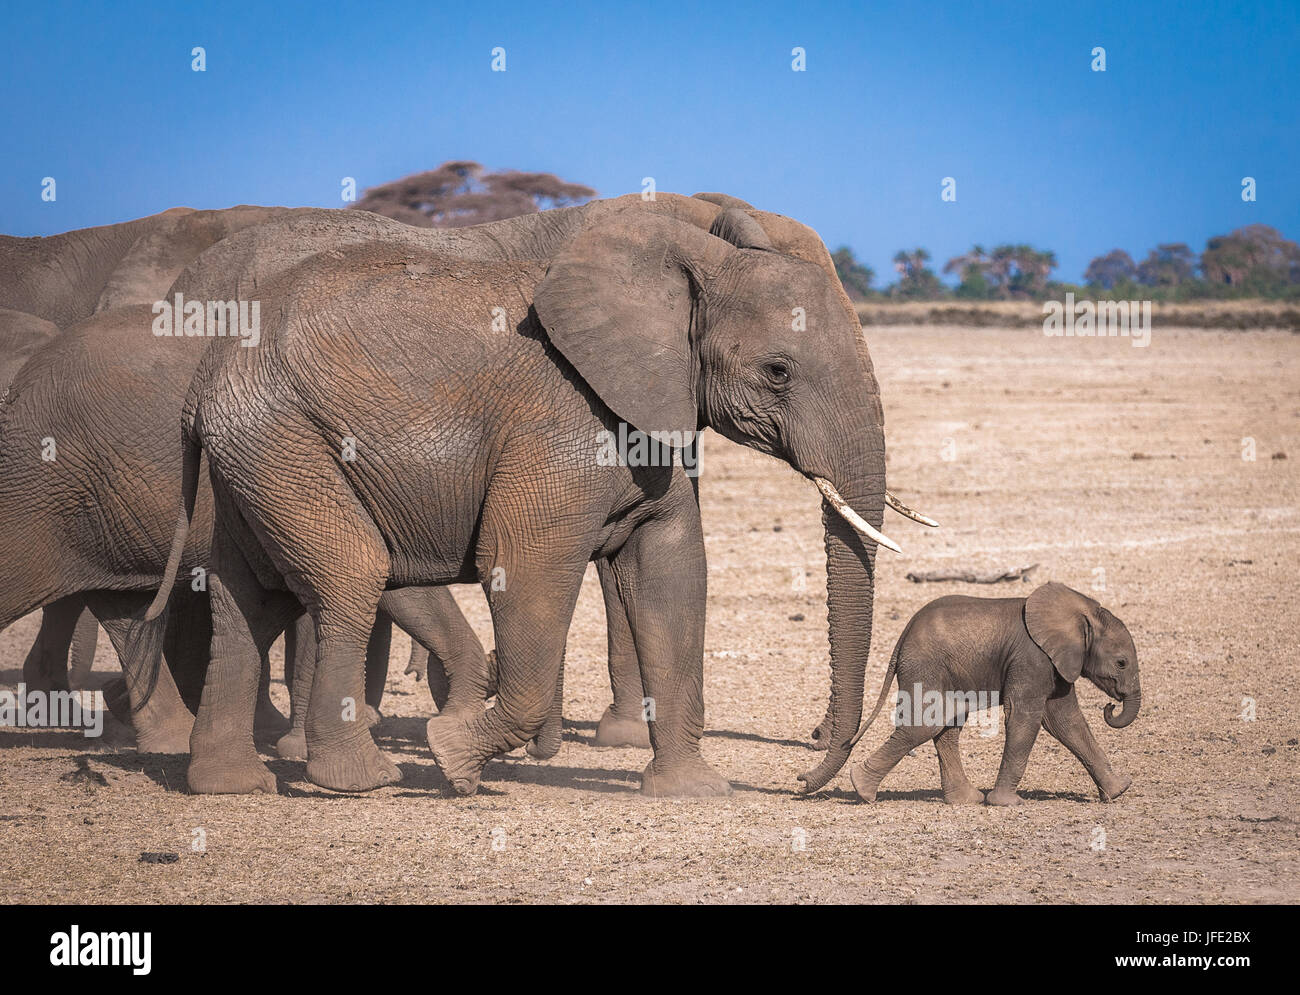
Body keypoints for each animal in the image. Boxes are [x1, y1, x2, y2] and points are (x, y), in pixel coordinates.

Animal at [143, 199, 902, 799]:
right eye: (778, 371)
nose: (804, 777)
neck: (692, 264)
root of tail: (202, 381)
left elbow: (670, 566)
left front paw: (693, 793)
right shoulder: (561, 420)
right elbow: (523, 562)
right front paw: (451, 757)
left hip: (257, 454)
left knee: (248, 599)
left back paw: (229, 785)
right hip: (283, 438)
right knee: (351, 574)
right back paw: (364, 780)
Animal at [848, 582, 1140, 806]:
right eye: (1121, 663)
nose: (1110, 707)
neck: (1083, 612)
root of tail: (904, 634)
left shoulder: (1057, 664)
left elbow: (1066, 721)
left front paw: (1119, 790)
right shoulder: (1032, 659)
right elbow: (1025, 718)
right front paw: (1007, 804)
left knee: (947, 724)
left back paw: (966, 800)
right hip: (925, 666)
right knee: (926, 724)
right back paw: (861, 788)